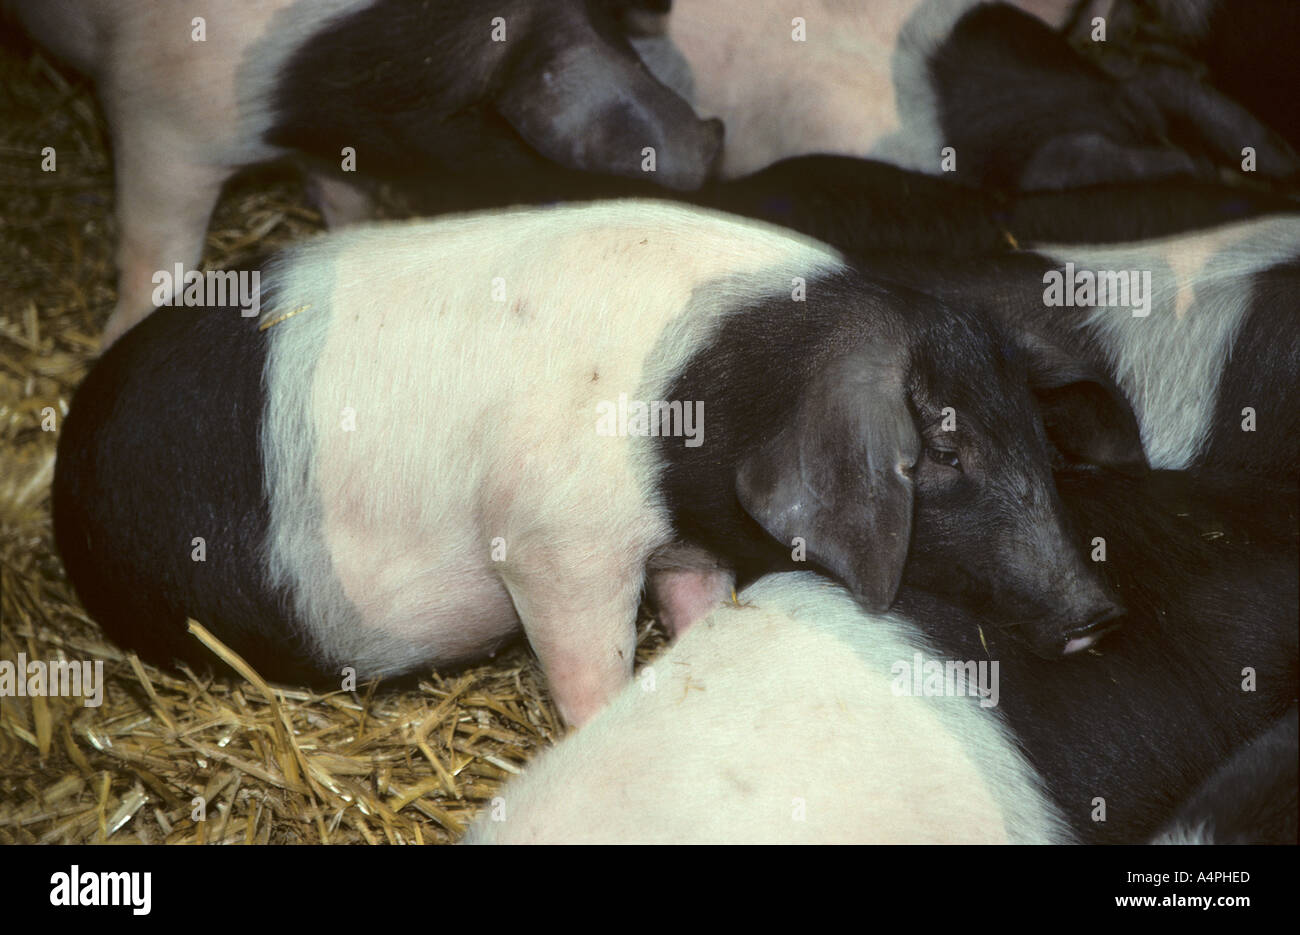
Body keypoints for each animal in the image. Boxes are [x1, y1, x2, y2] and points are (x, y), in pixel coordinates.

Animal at [2, 0, 722, 345]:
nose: (713, 137)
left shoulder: (332, 151)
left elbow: (344, 201)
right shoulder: (156, 119)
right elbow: (157, 245)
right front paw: (121, 337)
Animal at [52, 201, 1137, 726]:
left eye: (1036, 440)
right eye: (942, 449)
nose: (1100, 612)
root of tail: (64, 480)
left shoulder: (678, 536)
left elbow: (696, 597)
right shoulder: (555, 540)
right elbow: (585, 659)